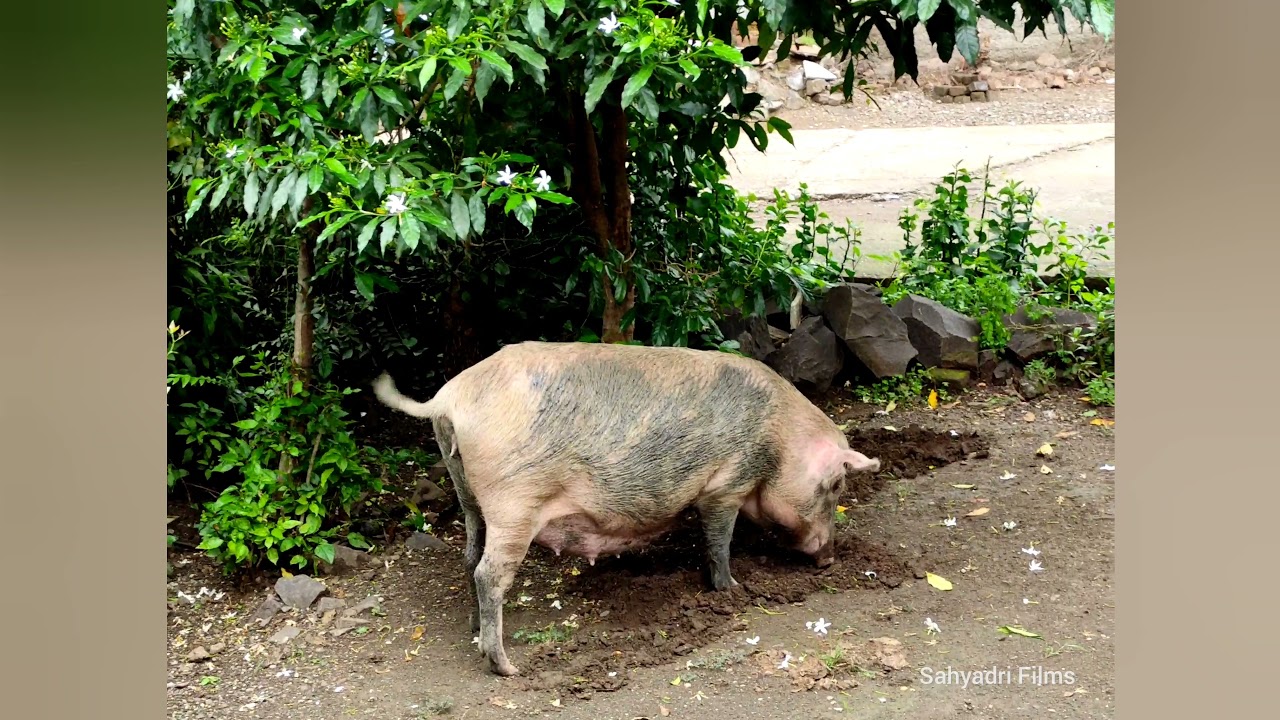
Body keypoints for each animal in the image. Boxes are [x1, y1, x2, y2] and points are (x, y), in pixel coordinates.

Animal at [372, 341, 880, 676]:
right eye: (835, 485)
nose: (829, 558)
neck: (779, 443)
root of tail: (449, 397)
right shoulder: (726, 484)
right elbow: (718, 540)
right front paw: (733, 591)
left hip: (467, 494)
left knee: (468, 558)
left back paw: (476, 632)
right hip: (513, 503)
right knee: (488, 573)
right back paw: (506, 667)